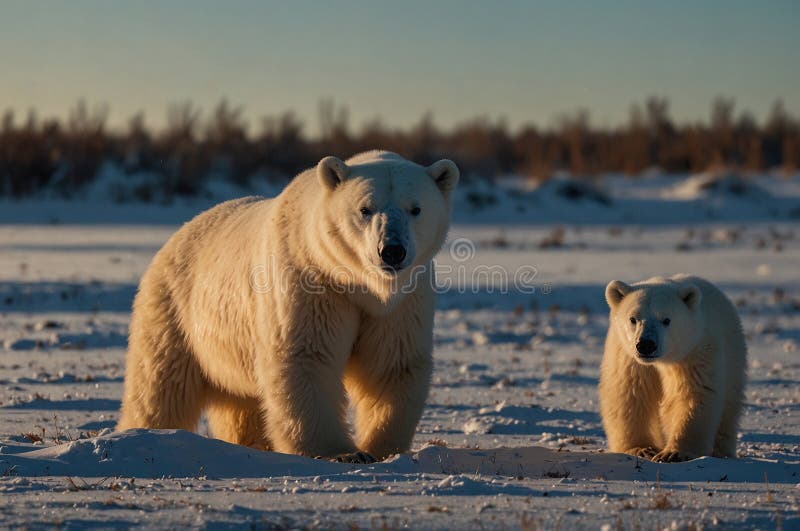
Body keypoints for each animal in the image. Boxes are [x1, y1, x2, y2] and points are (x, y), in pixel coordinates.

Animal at [117, 150, 459, 463]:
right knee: (161, 385)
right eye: (365, 208)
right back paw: (145, 434)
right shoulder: (311, 280)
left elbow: (391, 362)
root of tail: (177, 235)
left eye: (416, 208)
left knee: (240, 402)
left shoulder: (402, 303)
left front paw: (382, 450)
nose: (391, 250)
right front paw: (341, 453)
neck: (358, 284)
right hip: (175, 310)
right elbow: (306, 356)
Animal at [599, 274, 747, 462]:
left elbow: (693, 394)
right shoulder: (629, 360)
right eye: (633, 318)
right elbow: (630, 394)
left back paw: (721, 452)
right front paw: (641, 449)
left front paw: (674, 453)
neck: (661, 361)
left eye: (666, 320)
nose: (646, 345)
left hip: (734, 359)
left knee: (729, 409)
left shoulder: (693, 353)